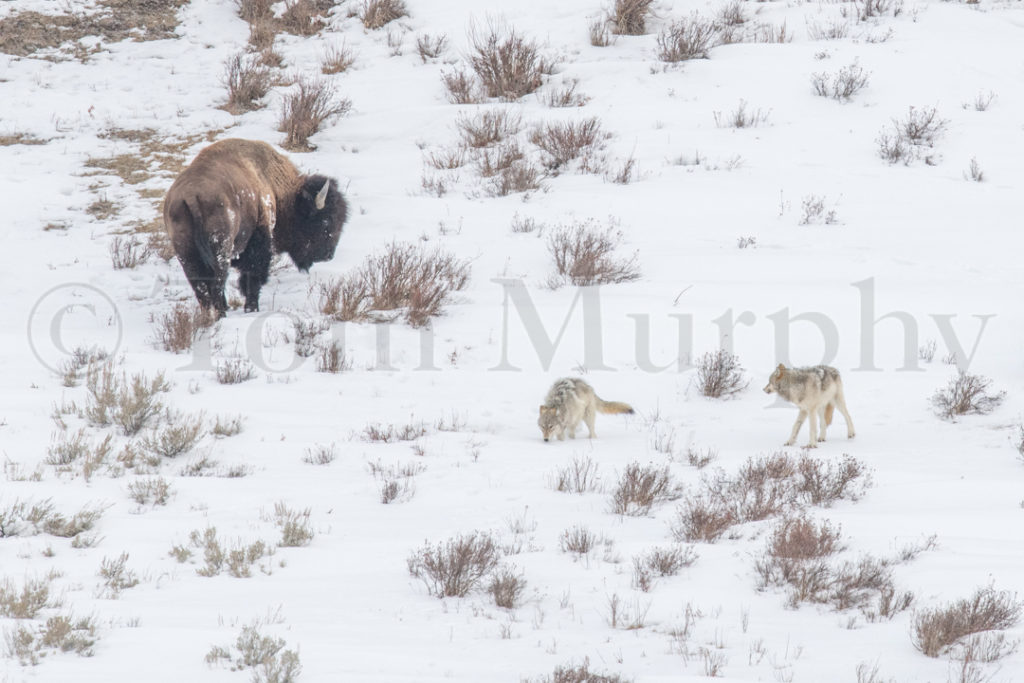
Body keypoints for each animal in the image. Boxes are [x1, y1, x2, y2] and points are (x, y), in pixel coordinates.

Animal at [163, 138, 348, 317]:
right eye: (326, 220)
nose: (328, 255)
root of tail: (191, 196)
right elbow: (254, 275)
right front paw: (251, 308)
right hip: (220, 251)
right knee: (217, 284)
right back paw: (222, 315)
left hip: (186, 255)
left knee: (201, 288)